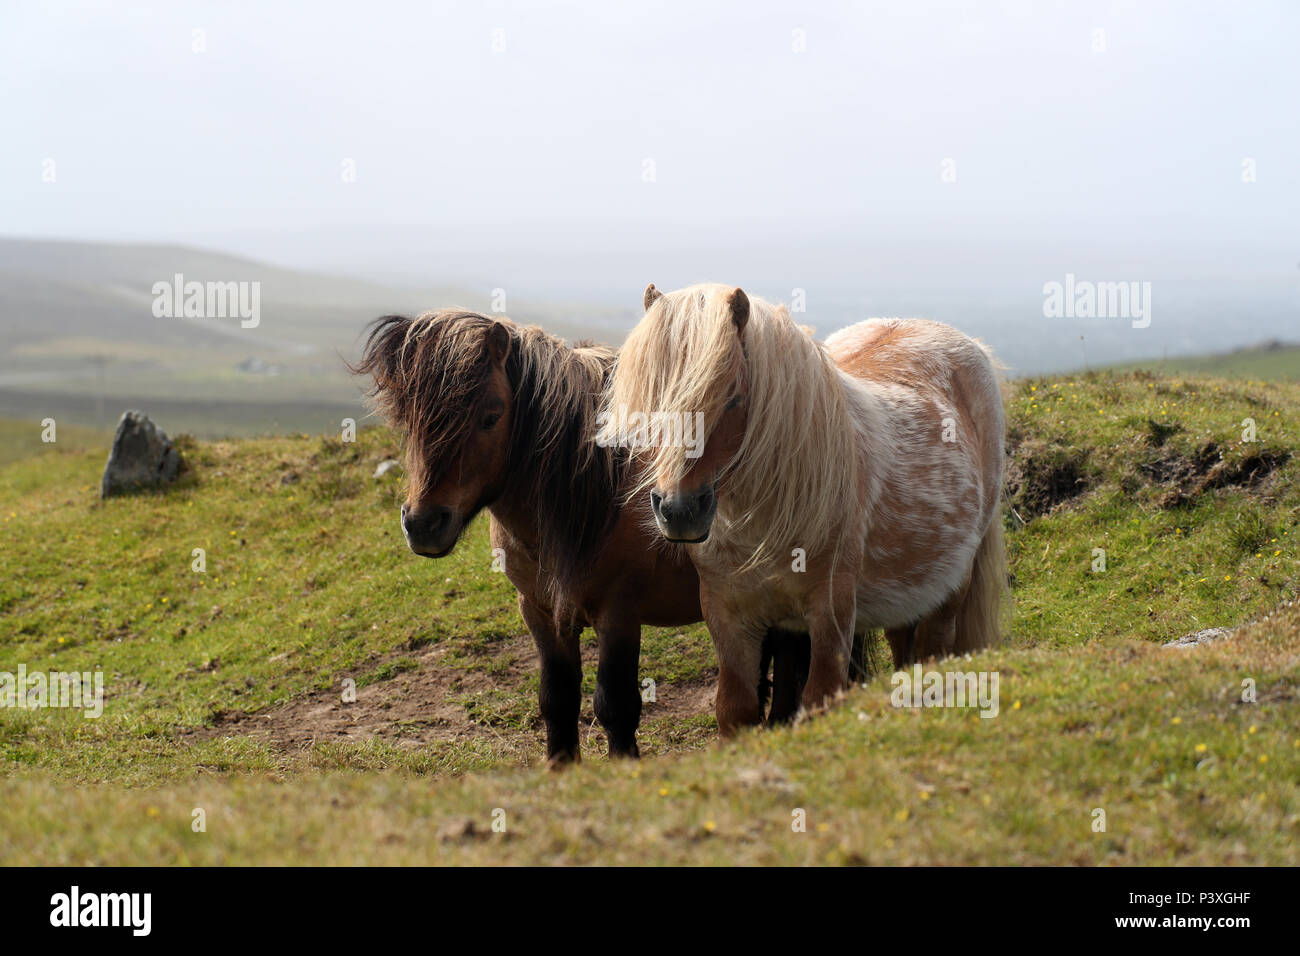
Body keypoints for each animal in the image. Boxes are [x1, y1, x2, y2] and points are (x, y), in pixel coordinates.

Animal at [352, 309, 805, 764]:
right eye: (406, 420)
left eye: (491, 416)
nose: (423, 525)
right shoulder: (539, 612)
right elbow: (557, 700)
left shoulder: (619, 614)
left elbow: (616, 706)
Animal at [599, 283, 1006, 734]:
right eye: (651, 400)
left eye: (732, 399)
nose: (679, 511)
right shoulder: (726, 615)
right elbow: (735, 709)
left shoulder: (830, 614)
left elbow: (818, 699)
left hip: (950, 586)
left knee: (934, 648)